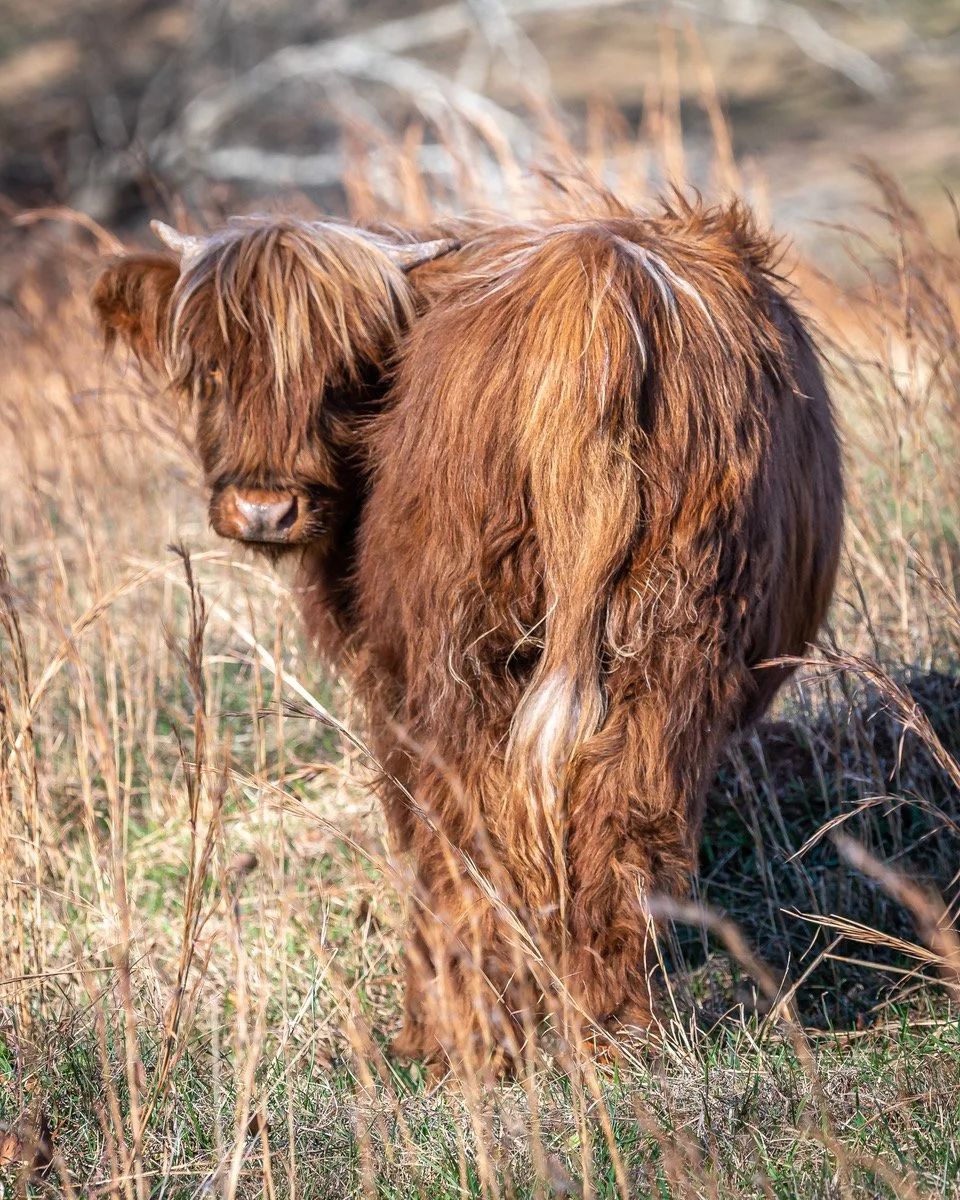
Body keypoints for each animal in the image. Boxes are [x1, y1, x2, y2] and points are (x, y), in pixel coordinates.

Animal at [93, 198, 843, 1069]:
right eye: (211, 371)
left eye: (344, 375)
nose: (263, 509)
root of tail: (597, 284)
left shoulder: (391, 681)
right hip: (677, 632)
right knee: (623, 805)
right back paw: (611, 1034)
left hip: (465, 658)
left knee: (464, 834)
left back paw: (466, 1039)